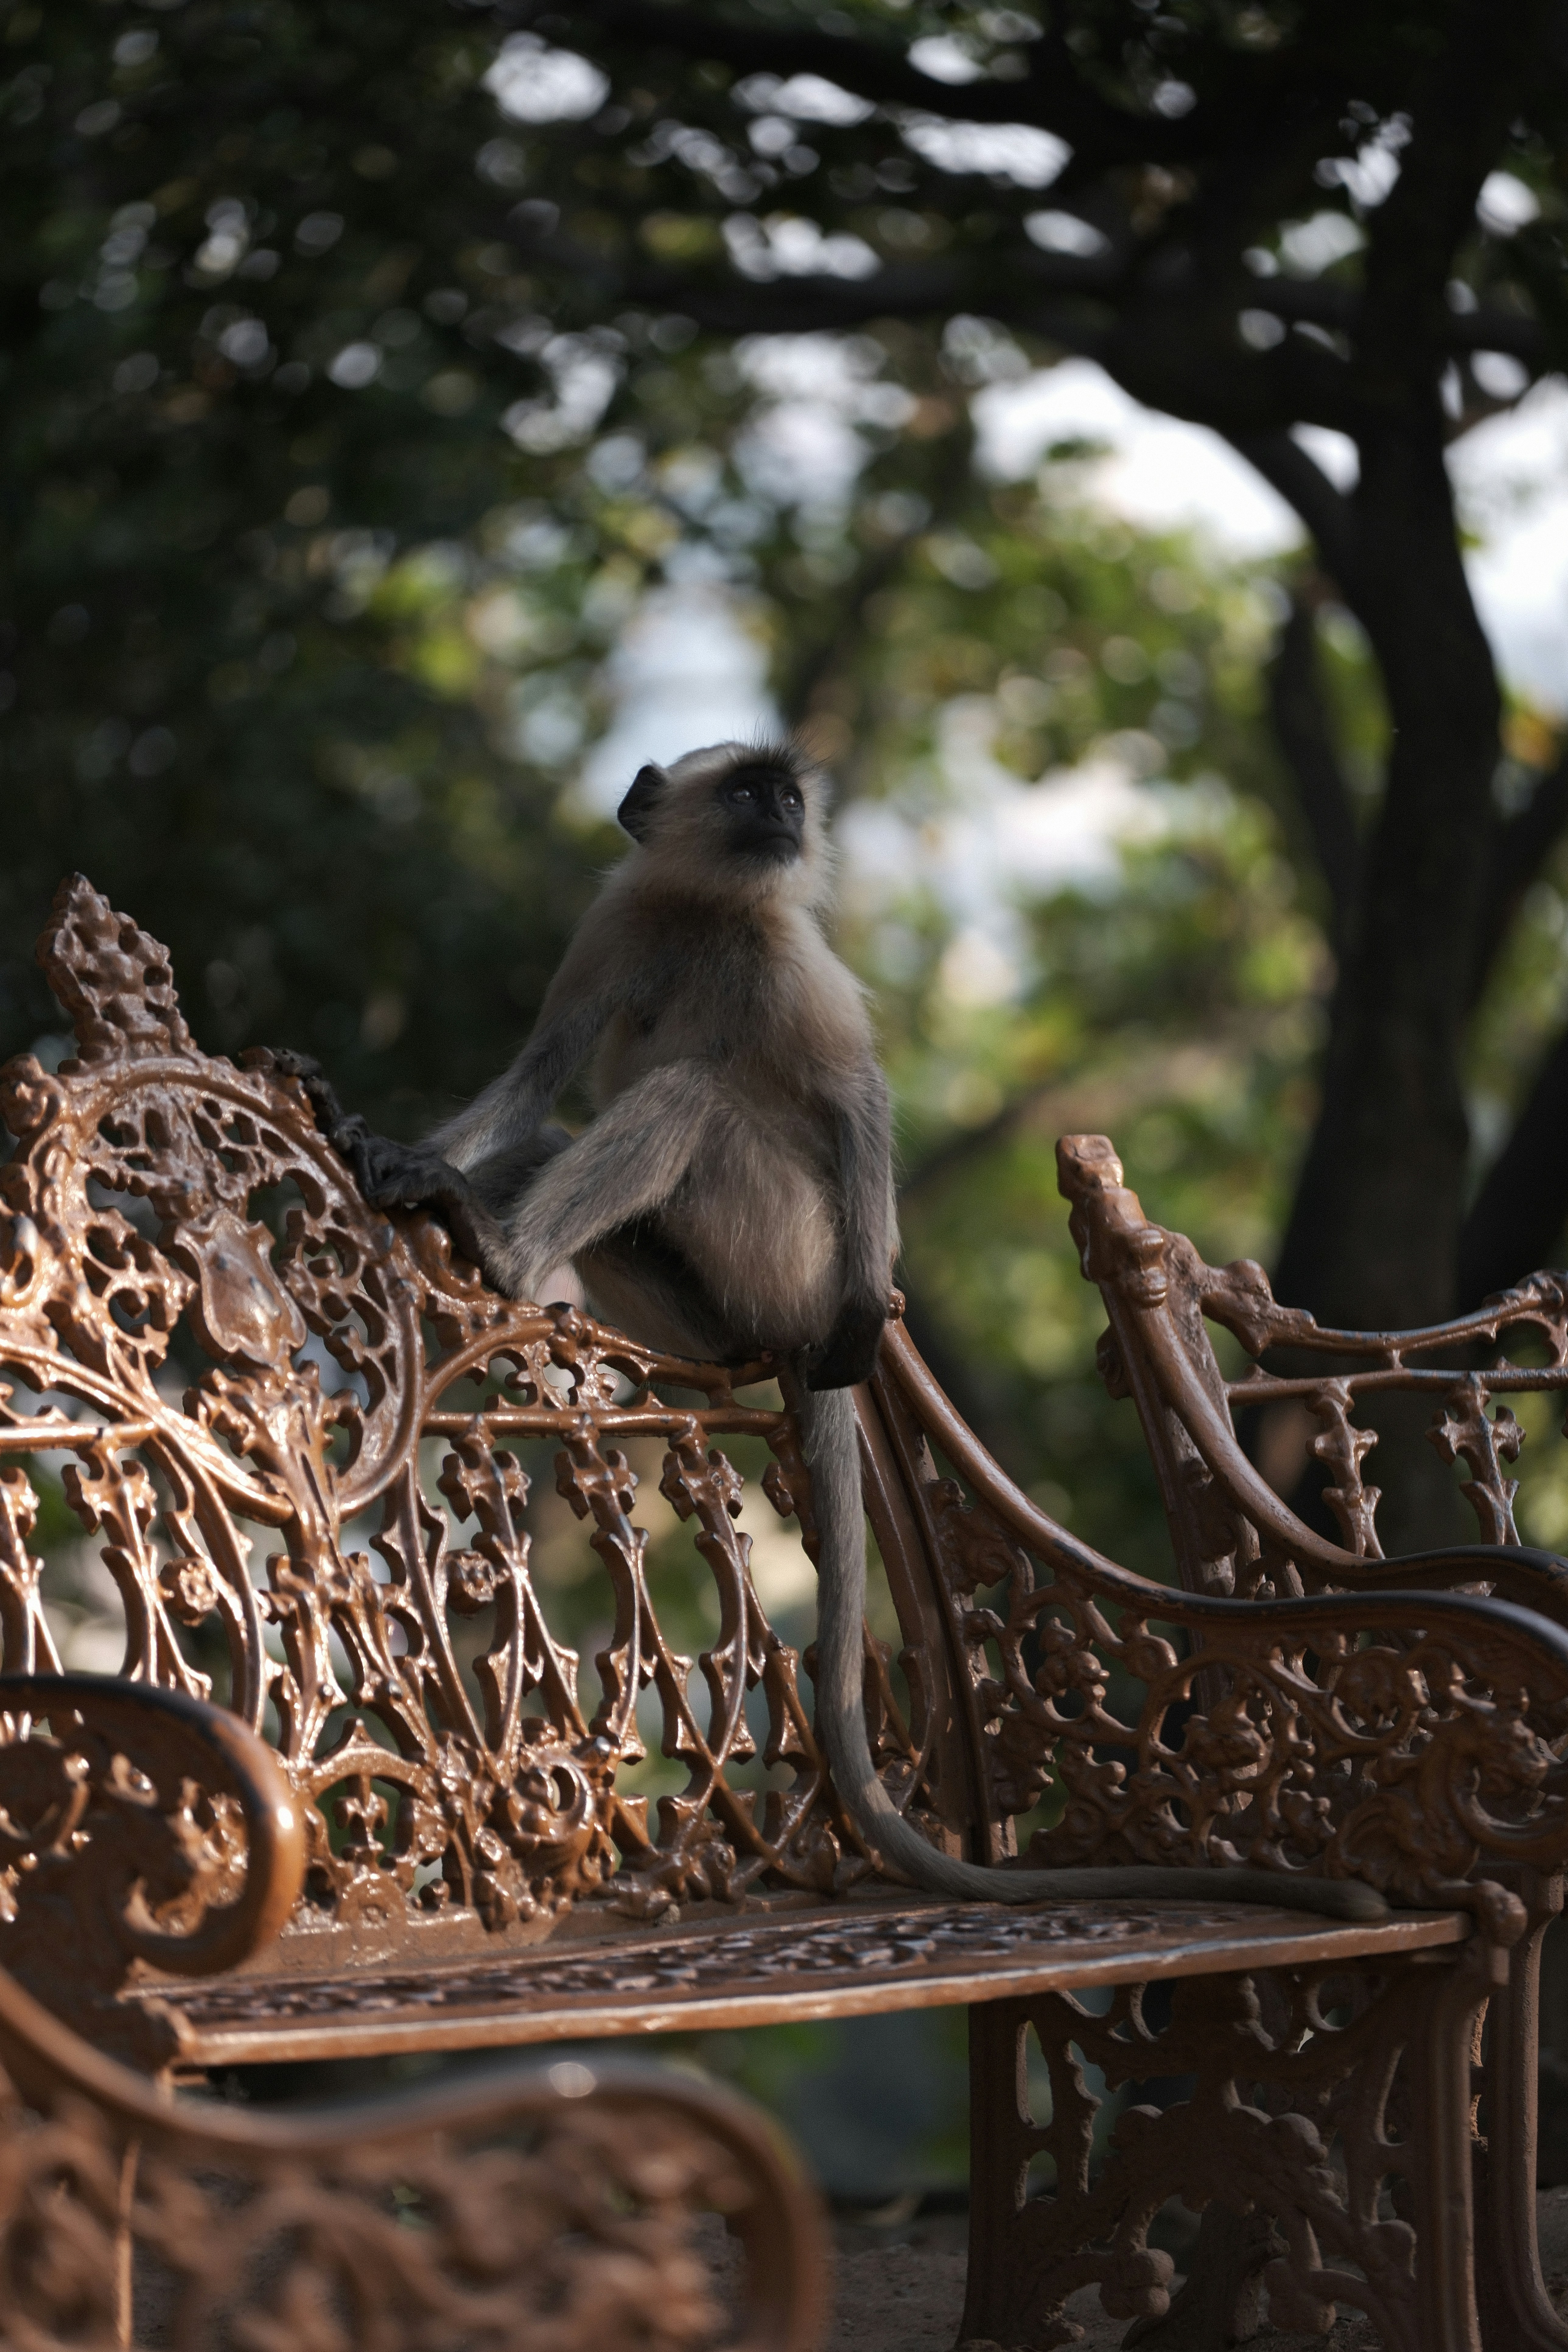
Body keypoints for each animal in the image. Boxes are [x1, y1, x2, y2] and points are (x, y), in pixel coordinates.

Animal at [283, 739, 1384, 1925]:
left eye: (788, 796)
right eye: (747, 792)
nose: (785, 811)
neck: (711, 913)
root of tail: (786, 1329)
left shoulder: (787, 955)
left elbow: (854, 1096)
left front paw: (871, 1305)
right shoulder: (622, 920)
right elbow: (533, 1081)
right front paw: (386, 1145)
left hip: (790, 1247)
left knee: (689, 1100)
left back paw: (510, 1254)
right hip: (704, 1300)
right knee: (554, 1138)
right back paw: (478, 1221)